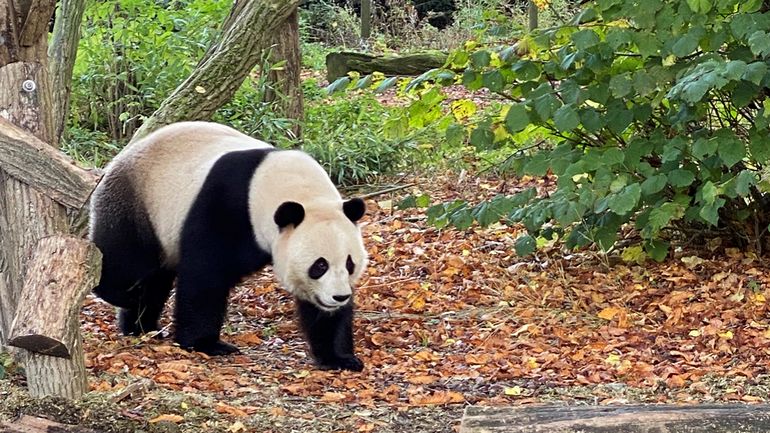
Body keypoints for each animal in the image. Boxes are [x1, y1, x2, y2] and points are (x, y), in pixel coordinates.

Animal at [89, 121, 367, 371]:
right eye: (319, 265)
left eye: (350, 264)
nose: (339, 297)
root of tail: (120, 157)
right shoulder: (227, 204)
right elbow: (206, 274)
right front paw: (205, 344)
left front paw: (339, 357)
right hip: (138, 202)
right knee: (127, 260)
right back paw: (124, 297)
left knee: (157, 277)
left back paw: (141, 327)